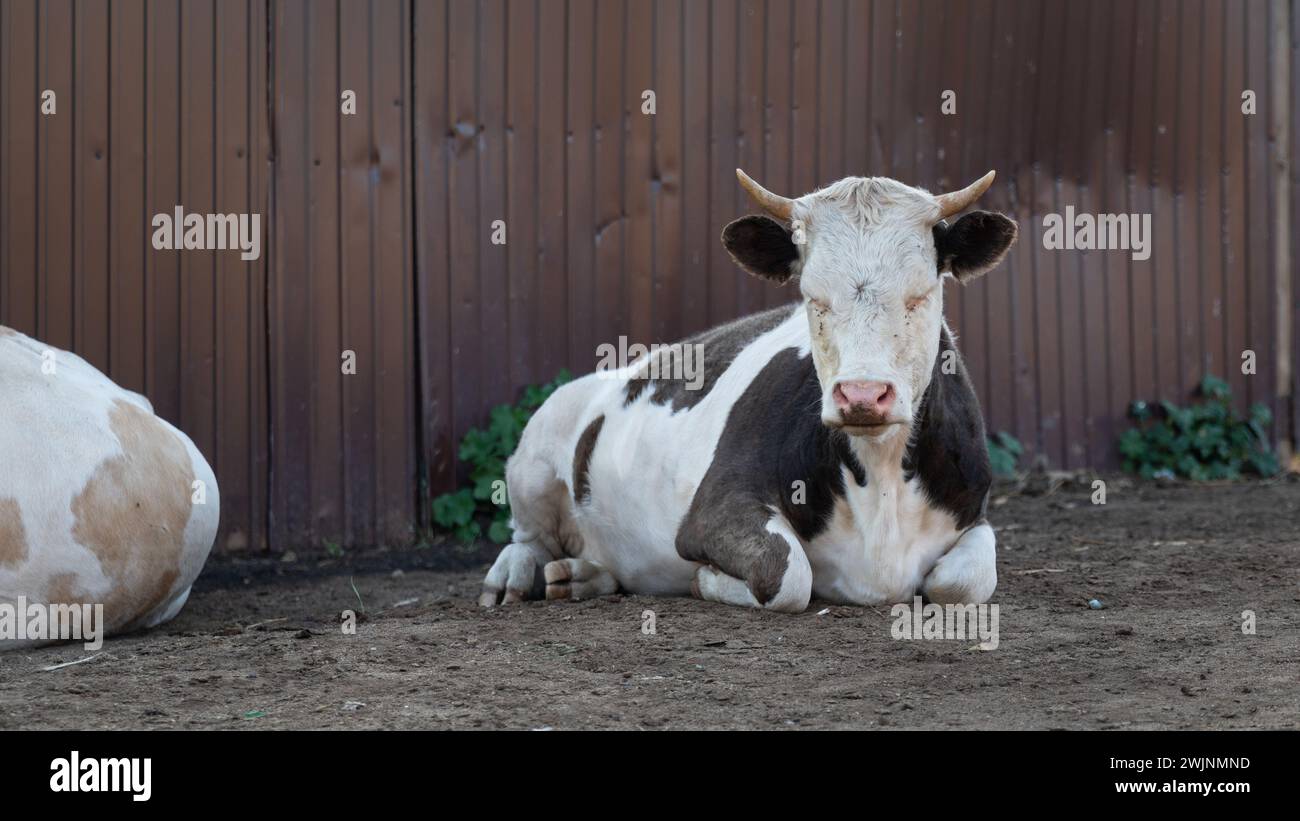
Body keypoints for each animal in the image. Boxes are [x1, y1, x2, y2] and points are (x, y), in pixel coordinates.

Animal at [479, 170, 1017, 612]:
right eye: (813, 297)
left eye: (920, 295)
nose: (862, 396)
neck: (880, 476)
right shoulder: (710, 513)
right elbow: (788, 574)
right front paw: (704, 581)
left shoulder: (976, 513)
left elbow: (963, 583)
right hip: (534, 452)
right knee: (526, 537)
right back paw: (512, 578)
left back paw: (579, 576)